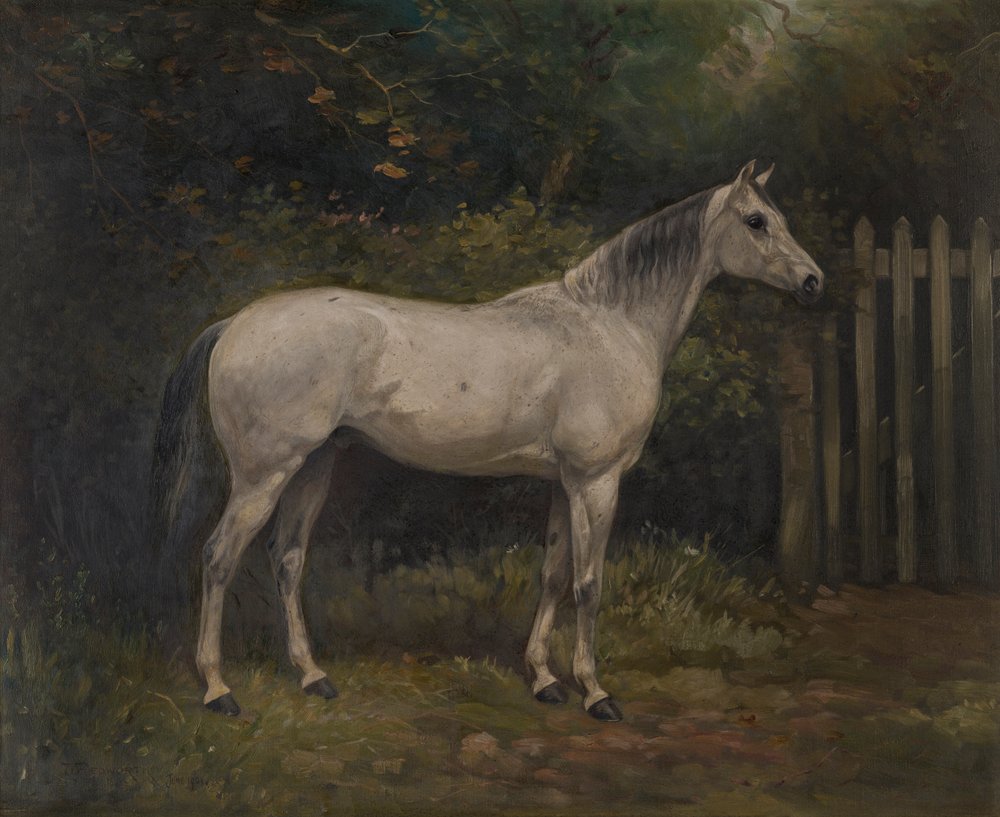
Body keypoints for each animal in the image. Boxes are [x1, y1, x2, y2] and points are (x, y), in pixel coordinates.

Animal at [154, 160, 823, 722]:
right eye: (757, 221)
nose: (814, 282)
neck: (611, 322)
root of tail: (233, 324)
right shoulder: (597, 481)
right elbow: (589, 584)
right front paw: (595, 692)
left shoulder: (564, 484)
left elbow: (552, 574)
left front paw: (544, 681)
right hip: (264, 474)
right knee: (218, 557)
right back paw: (217, 689)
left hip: (313, 466)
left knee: (287, 559)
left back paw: (313, 676)